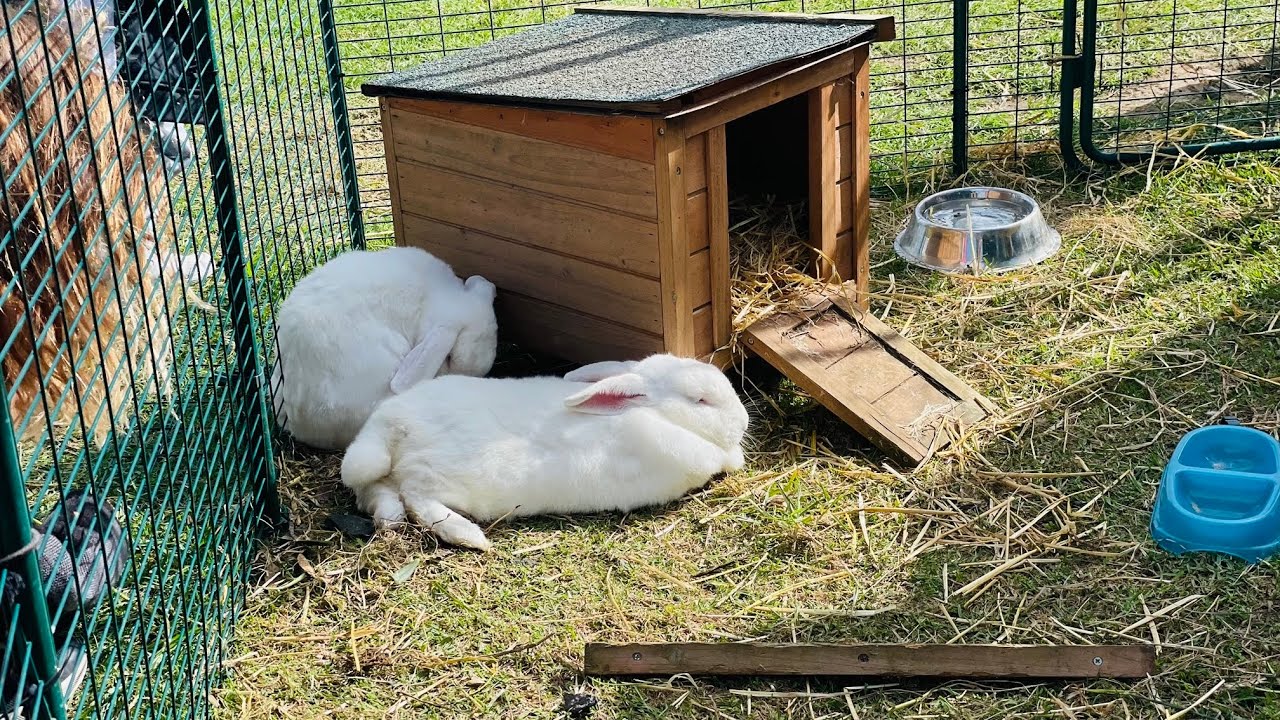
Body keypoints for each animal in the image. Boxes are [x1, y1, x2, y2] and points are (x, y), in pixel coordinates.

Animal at [340, 353, 750, 551]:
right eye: (701, 401)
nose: (744, 419)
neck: (658, 414)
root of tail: (394, 425)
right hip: (436, 478)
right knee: (417, 499)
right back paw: (471, 536)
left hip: (380, 471)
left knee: (376, 493)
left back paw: (390, 519)